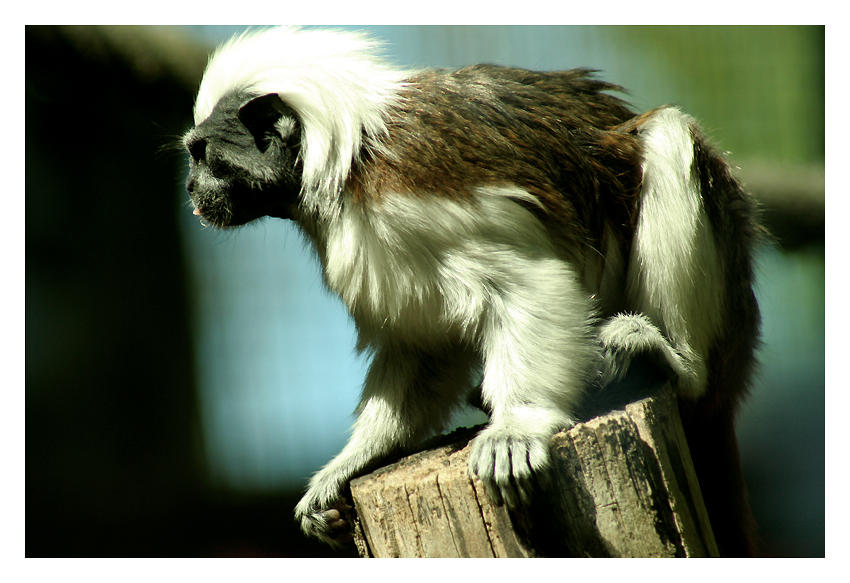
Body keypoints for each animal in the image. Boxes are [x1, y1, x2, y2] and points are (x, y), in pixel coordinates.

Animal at [183, 26, 761, 556]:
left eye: (203, 153)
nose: (190, 187)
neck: (349, 164)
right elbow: (424, 348)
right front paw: (350, 465)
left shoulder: (412, 198)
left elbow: (530, 284)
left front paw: (518, 427)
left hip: (727, 324)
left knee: (665, 135)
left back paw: (669, 358)